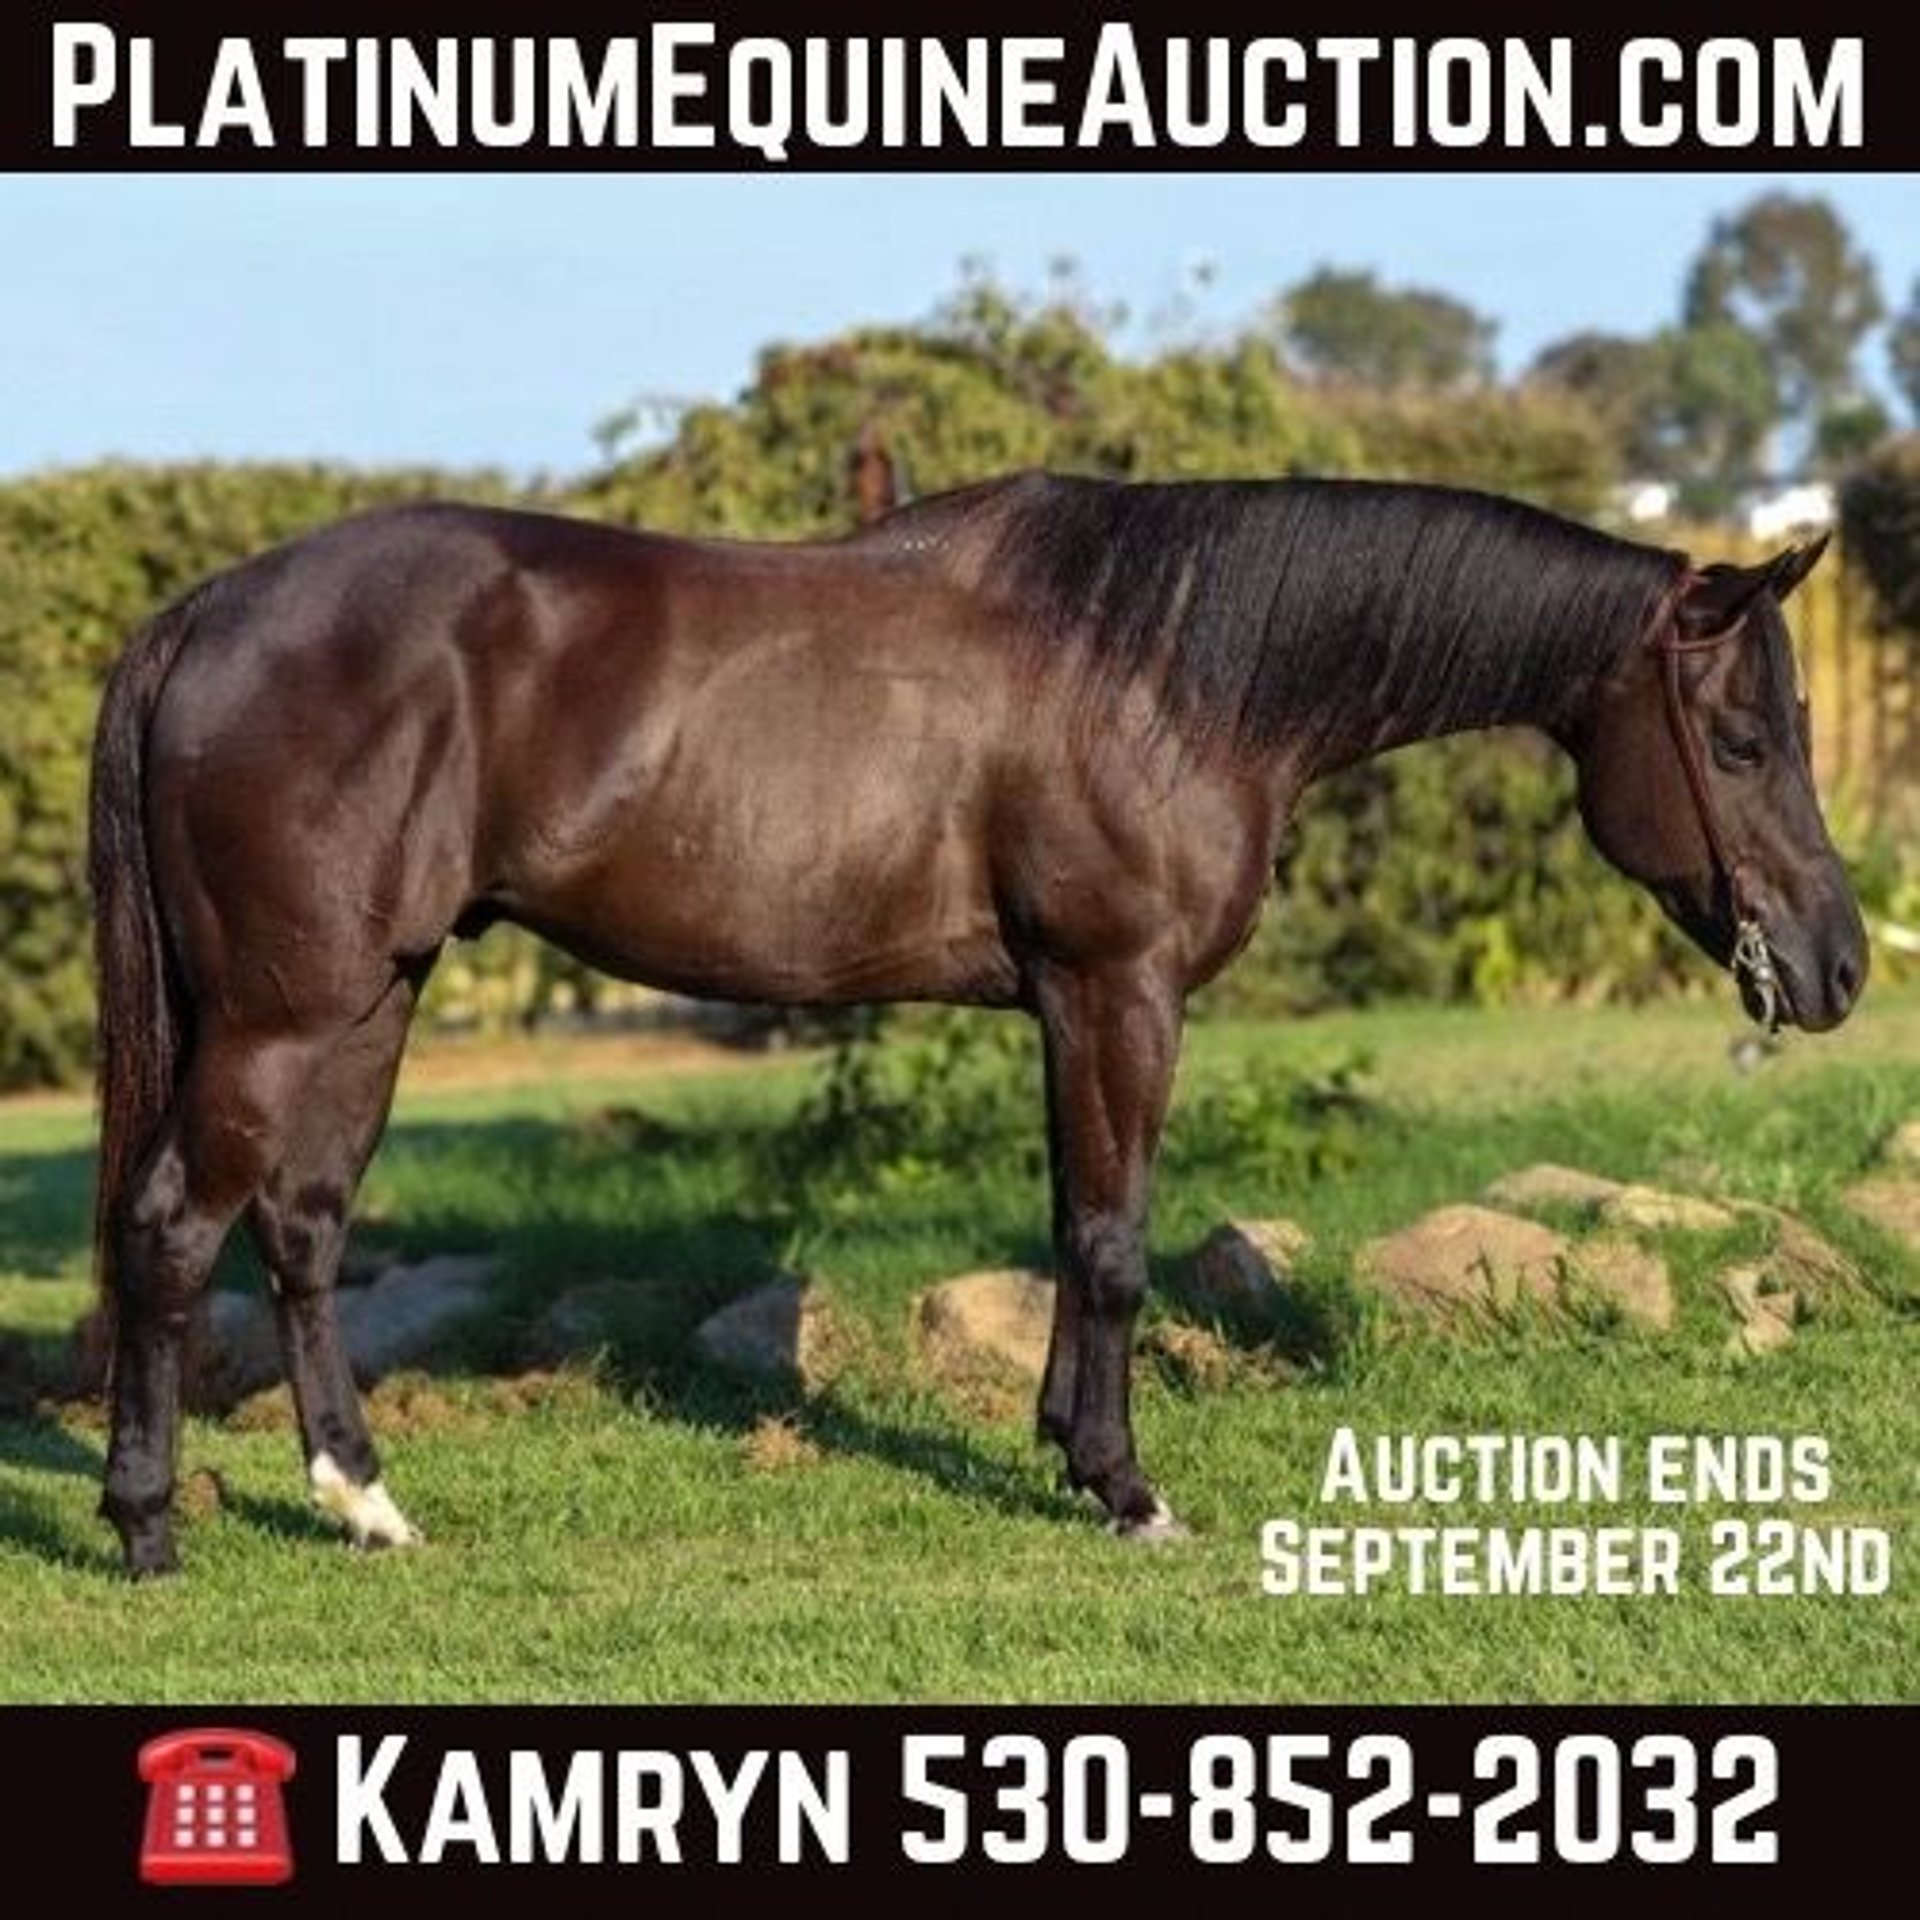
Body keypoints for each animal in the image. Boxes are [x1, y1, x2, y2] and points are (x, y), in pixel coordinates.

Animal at [88, 473, 1867, 1576]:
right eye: (1740, 738)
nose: (1839, 967)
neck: (1169, 672)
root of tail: (209, 612)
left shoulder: (1064, 1005)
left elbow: (1074, 1223)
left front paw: (1065, 1446)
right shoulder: (1118, 988)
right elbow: (1118, 1241)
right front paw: (1128, 1490)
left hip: (367, 1002)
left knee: (304, 1231)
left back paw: (365, 1506)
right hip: (283, 1017)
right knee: (172, 1227)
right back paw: (148, 1526)